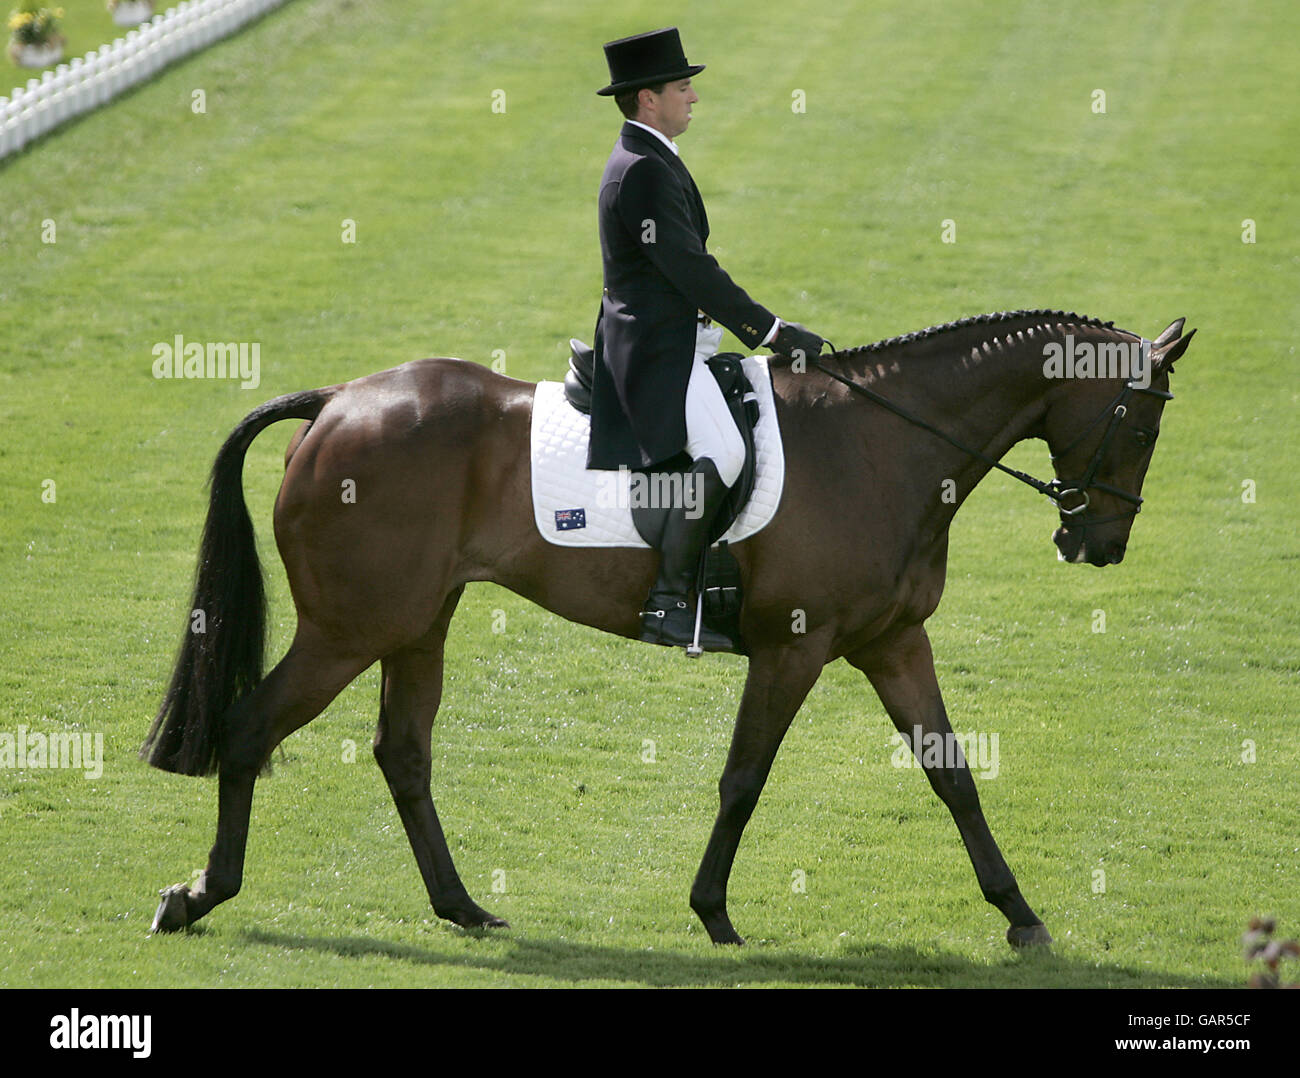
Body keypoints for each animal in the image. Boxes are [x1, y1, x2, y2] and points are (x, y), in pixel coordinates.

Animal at [141, 309, 1195, 947]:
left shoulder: (892, 643)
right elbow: (744, 779)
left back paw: (462, 906)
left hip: (416, 625)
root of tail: (336, 404)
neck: (884, 445)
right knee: (249, 730)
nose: (1097, 544)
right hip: (348, 629)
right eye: (1142, 427)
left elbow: (952, 773)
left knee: (402, 753)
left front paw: (1021, 916)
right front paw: (714, 914)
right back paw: (198, 896)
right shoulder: (796, 647)